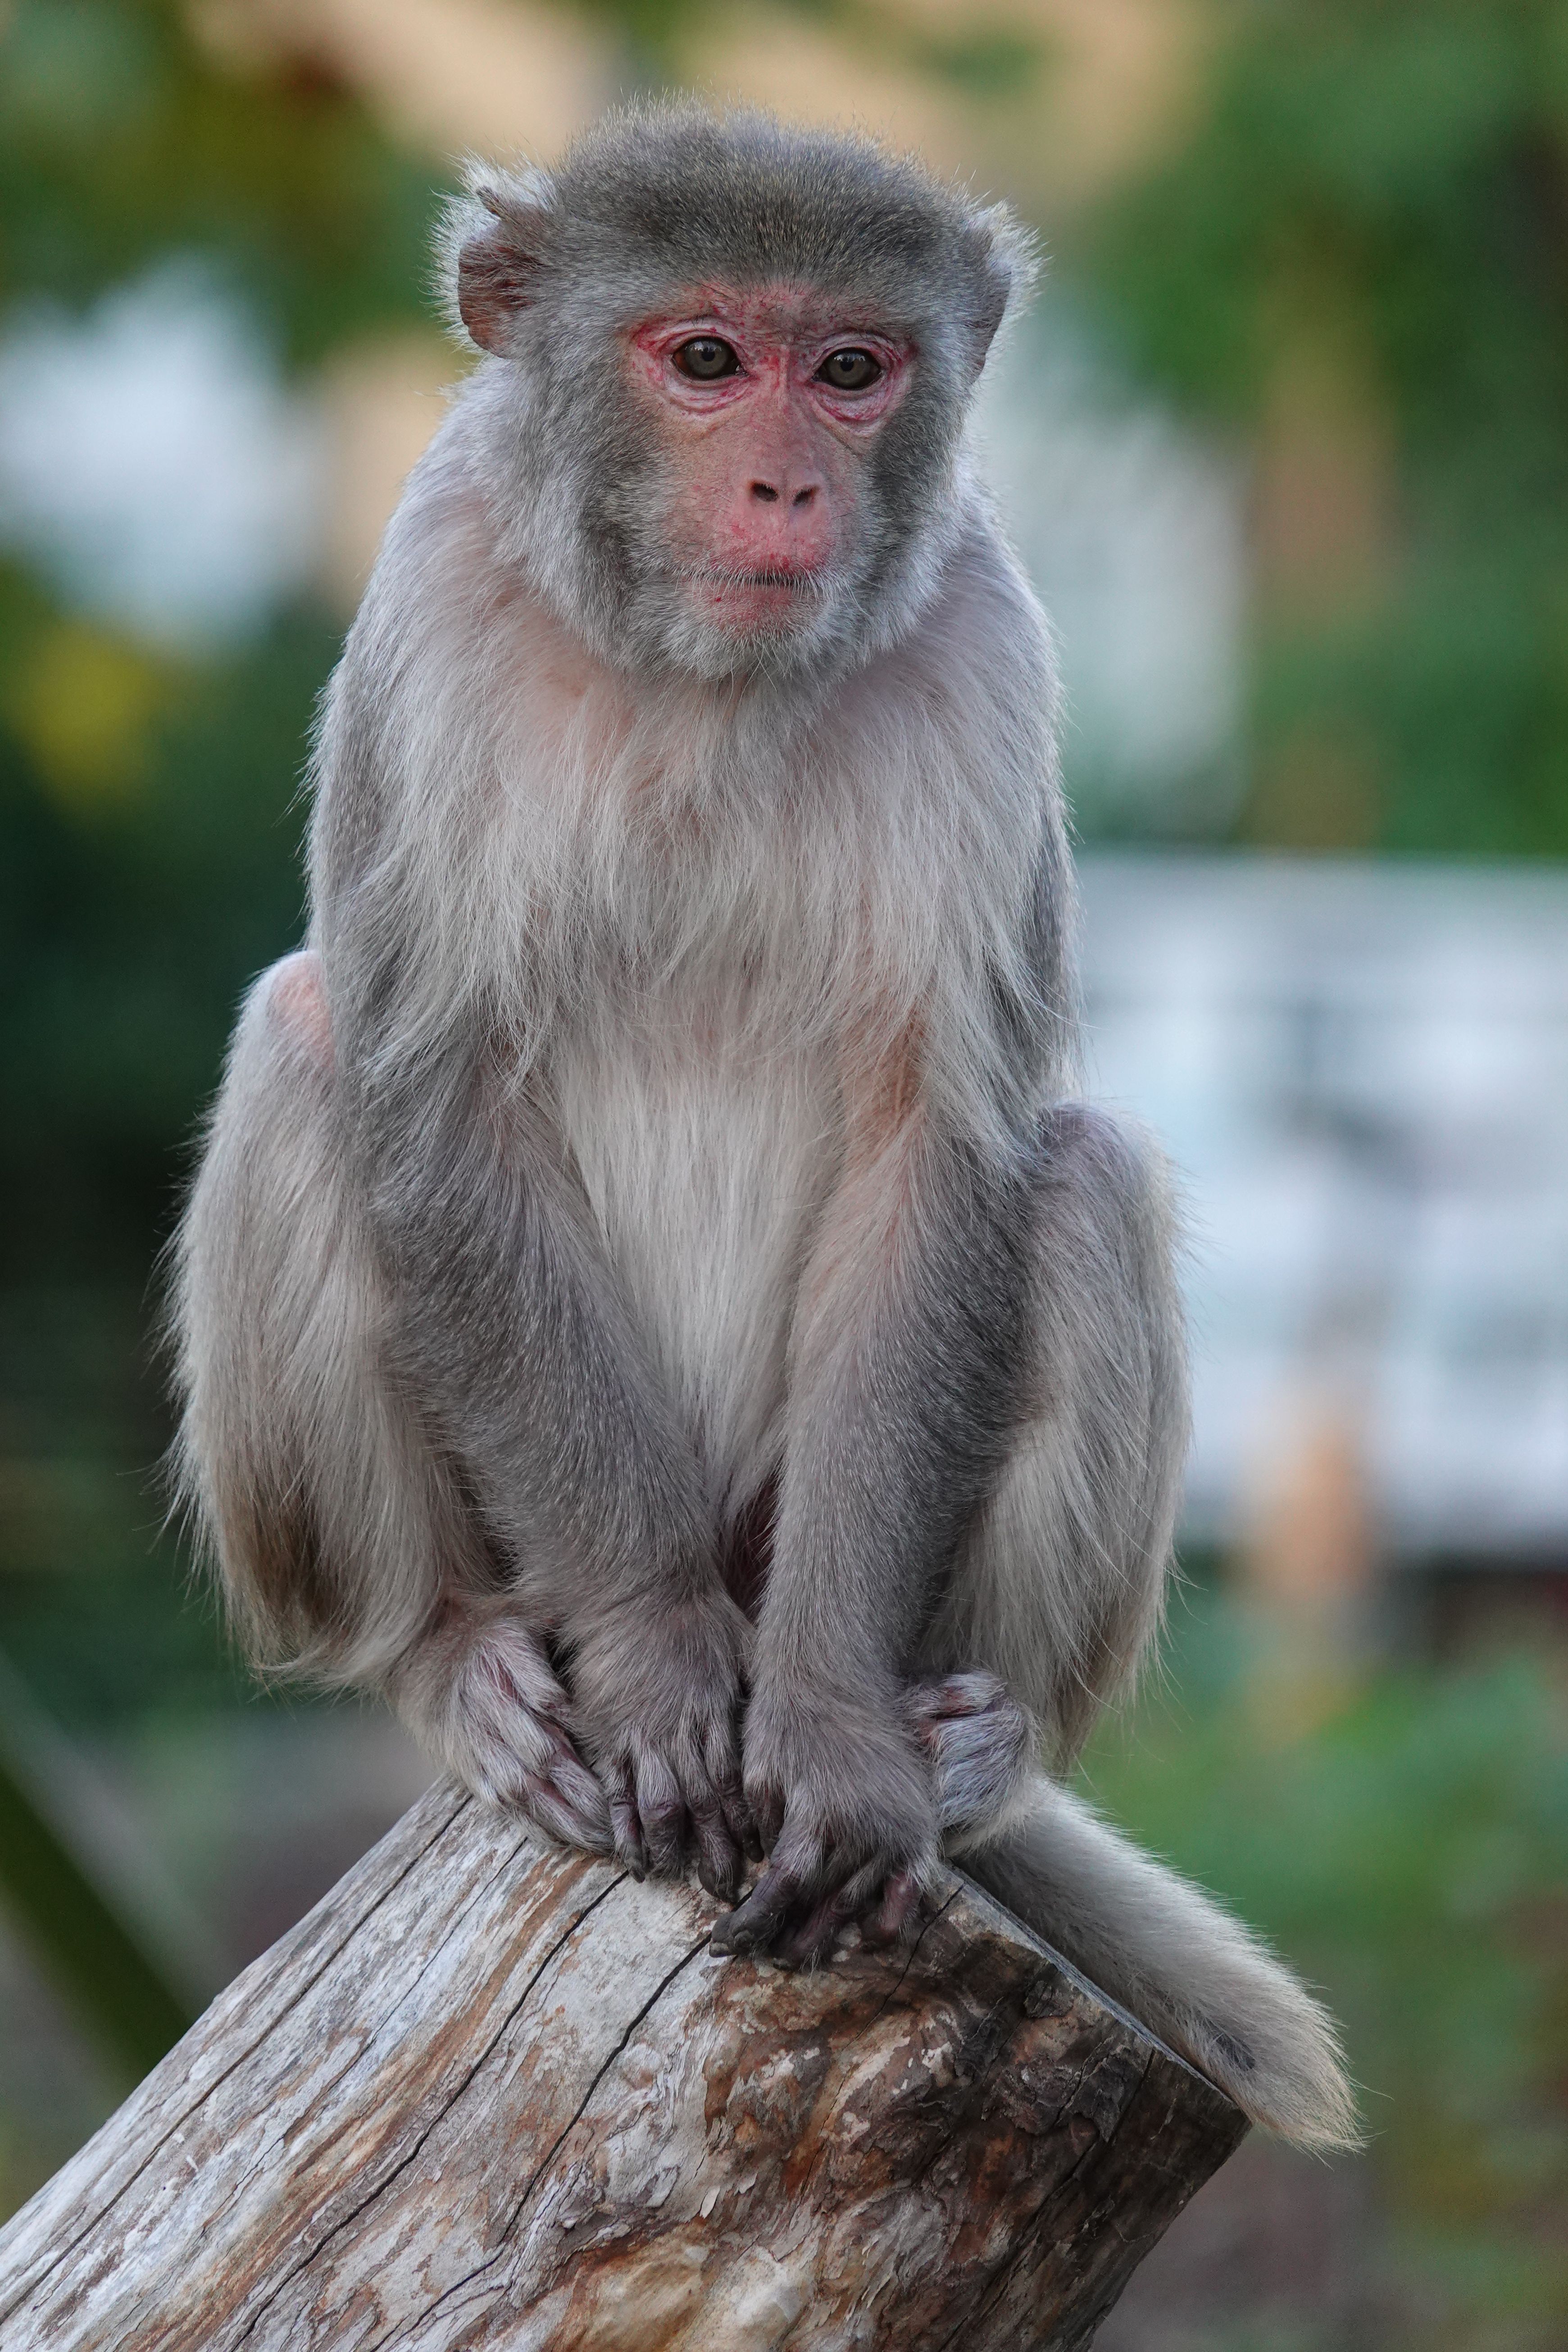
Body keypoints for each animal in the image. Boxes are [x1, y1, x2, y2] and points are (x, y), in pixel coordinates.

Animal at [171, 103, 1356, 2152]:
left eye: (852, 370)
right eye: (708, 359)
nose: (791, 485)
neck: (690, 682)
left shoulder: (985, 651)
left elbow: (943, 1139)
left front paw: (827, 1731)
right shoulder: (433, 606)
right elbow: (427, 1082)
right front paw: (654, 1658)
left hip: (800, 1519)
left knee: (1081, 1176)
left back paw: (975, 1743)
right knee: (308, 1050)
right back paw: (449, 1654)